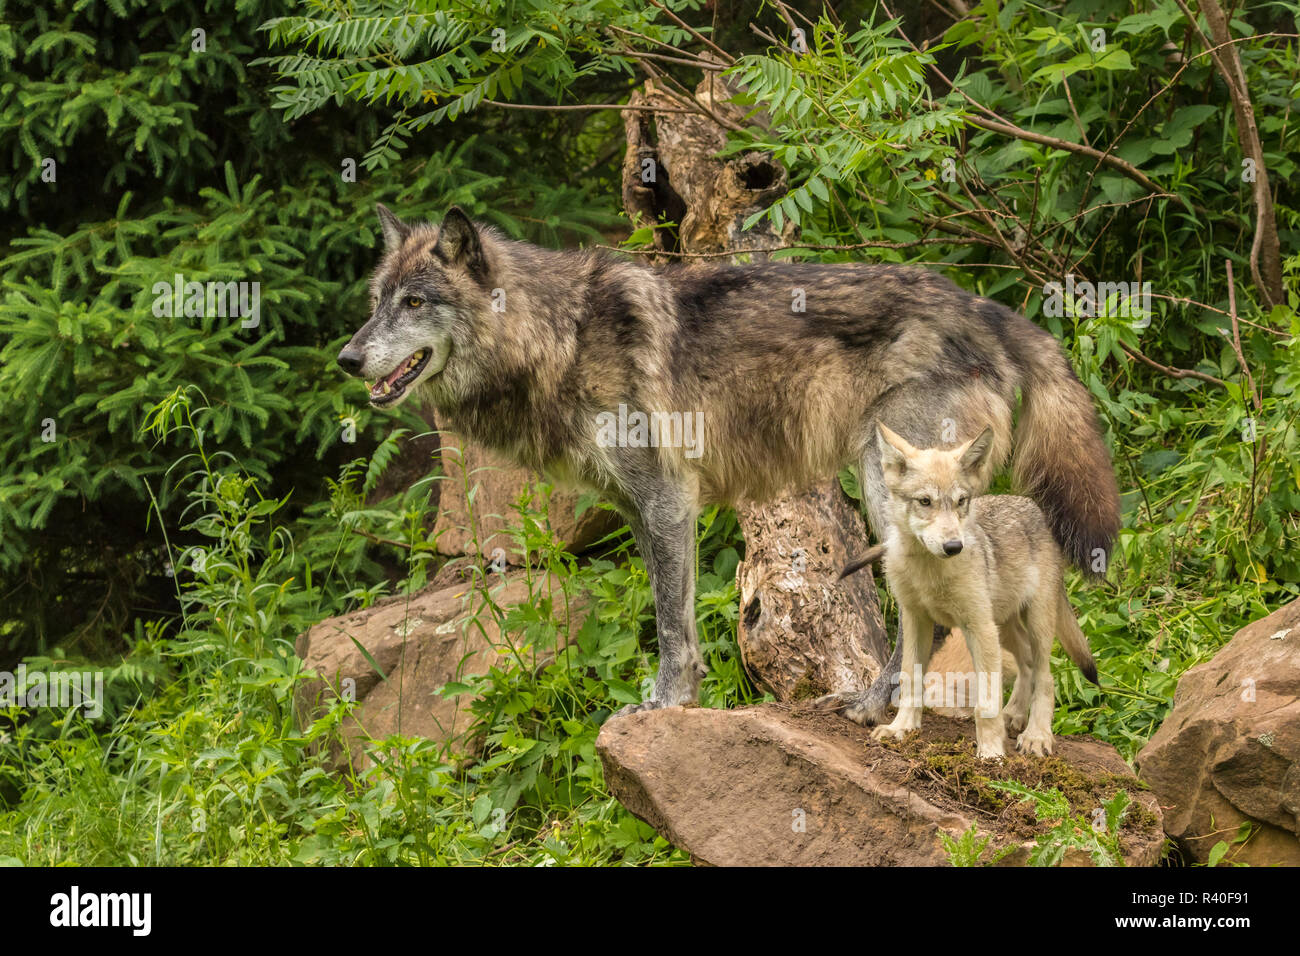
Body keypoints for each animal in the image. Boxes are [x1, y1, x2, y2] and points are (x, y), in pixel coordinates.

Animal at [337, 205, 1120, 722]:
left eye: (415, 302)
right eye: (376, 302)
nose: (346, 358)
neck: (559, 335)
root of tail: (983, 306)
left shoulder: (666, 499)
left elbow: (670, 627)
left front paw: (663, 704)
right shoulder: (644, 508)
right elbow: (674, 614)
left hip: (888, 486)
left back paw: (878, 702)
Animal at [869, 422, 1099, 758]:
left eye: (961, 501)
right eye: (925, 502)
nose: (954, 546)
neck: (930, 573)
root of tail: (1036, 509)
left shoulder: (977, 626)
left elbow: (986, 704)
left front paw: (991, 752)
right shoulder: (915, 620)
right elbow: (910, 680)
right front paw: (901, 729)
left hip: (1033, 624)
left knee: (1046, 677)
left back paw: (1036, 736)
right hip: (1004, 628)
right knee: (1027, 664)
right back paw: (1014, 716)